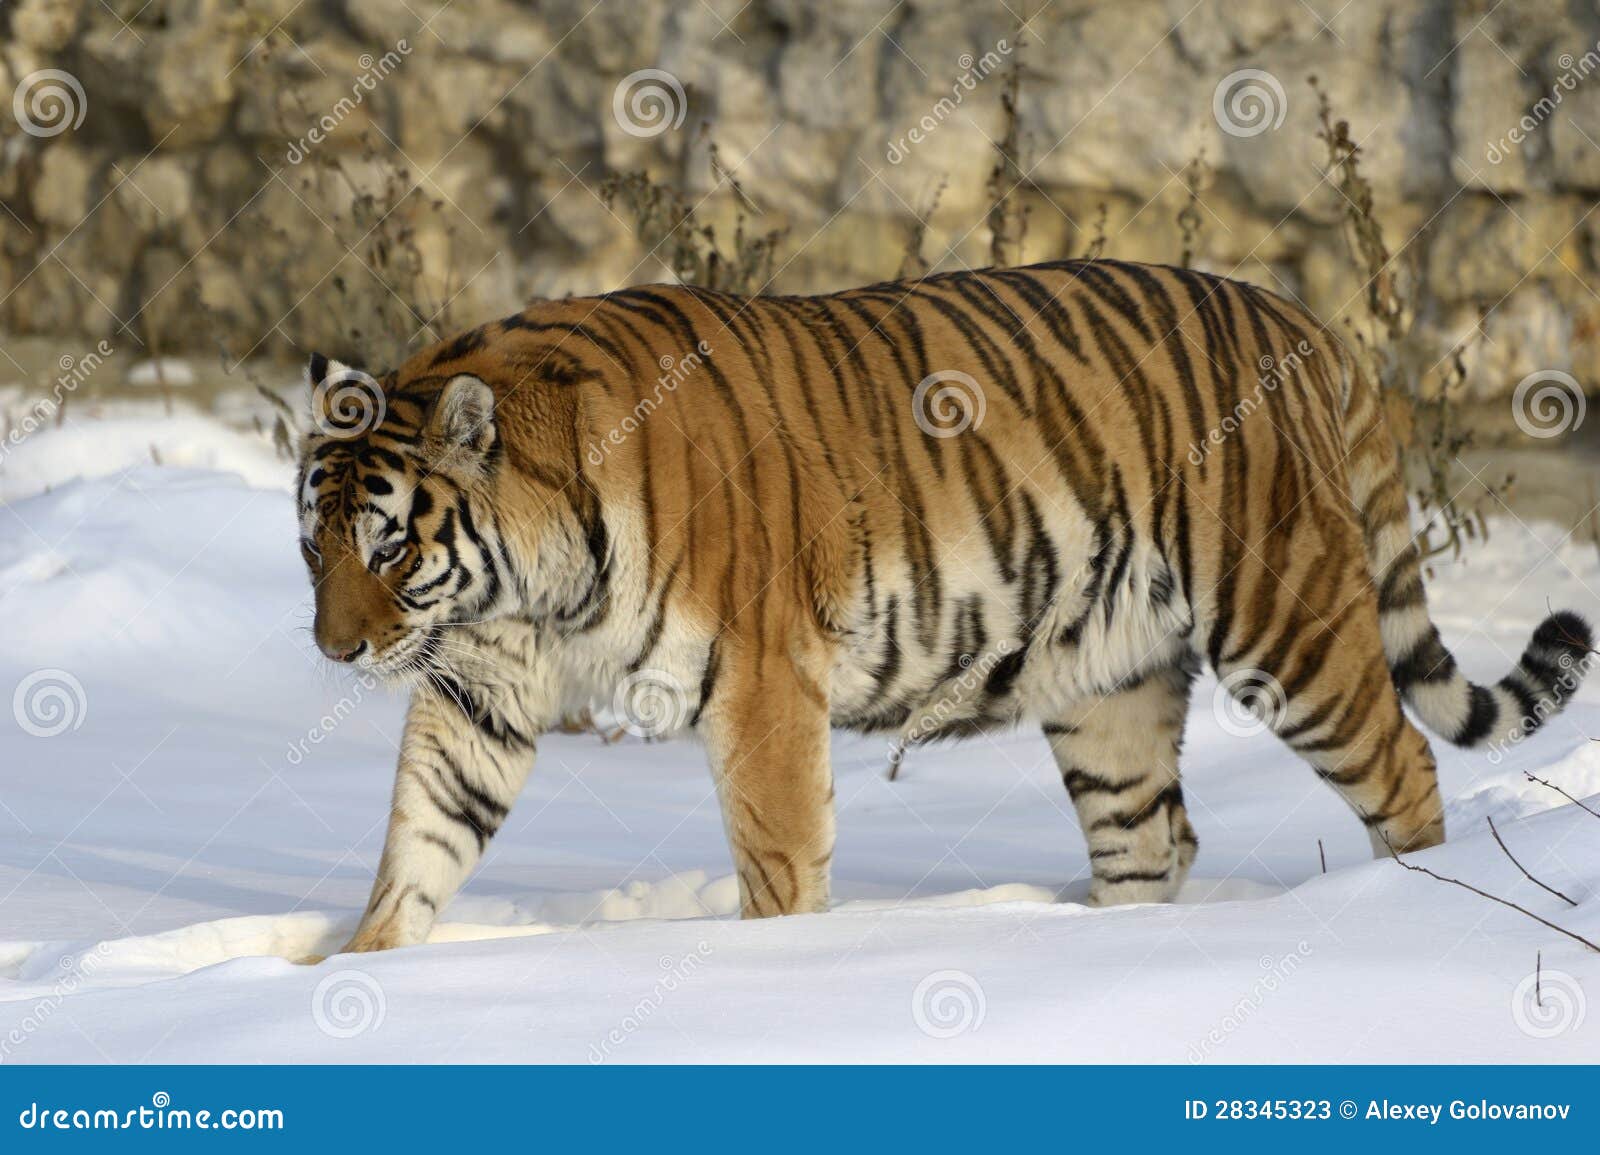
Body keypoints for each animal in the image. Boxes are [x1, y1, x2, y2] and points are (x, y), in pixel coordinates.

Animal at [295, 258, 1592, 956]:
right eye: (313, 546)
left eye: (389, 544)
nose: (334, 649)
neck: (530, 585)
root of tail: (1306, 323)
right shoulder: (478, 687)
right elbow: (420, 837)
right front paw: (354, 972)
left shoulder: (761, 684)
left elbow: (779, 857)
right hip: (1108, 689)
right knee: (1151, 838)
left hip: (1288, 623)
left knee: (1403, 769)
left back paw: (1400, 911)